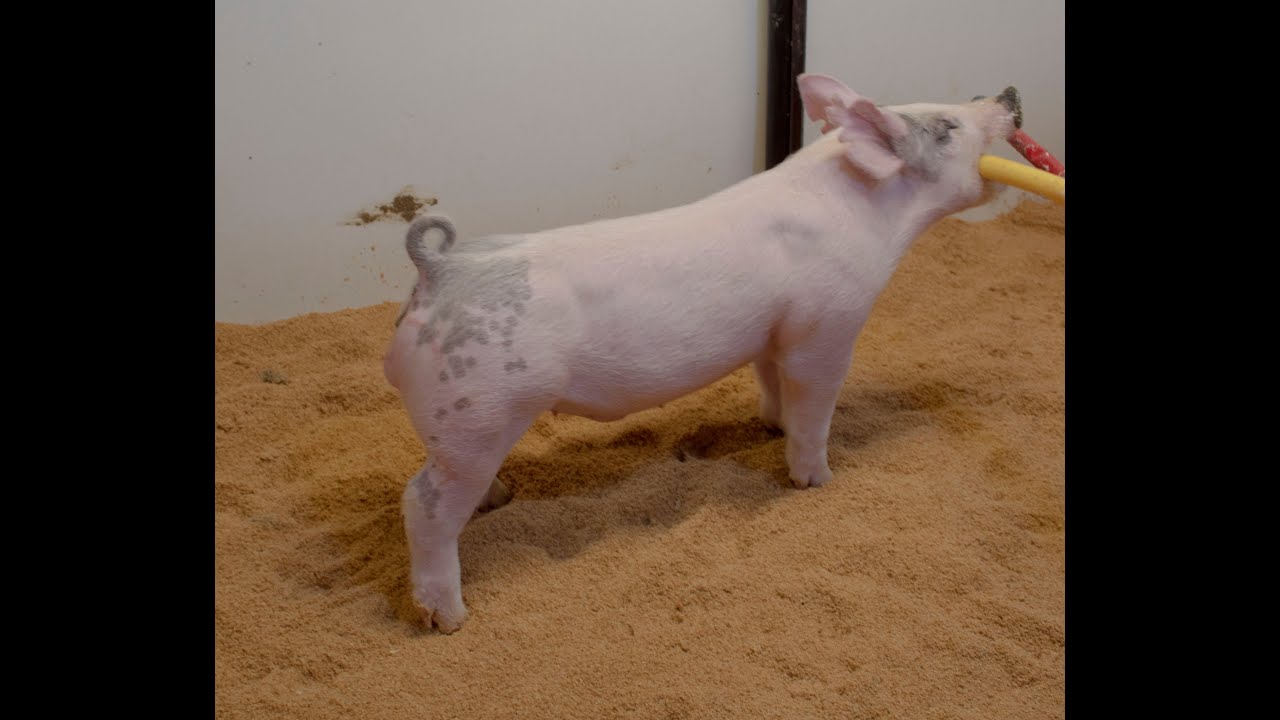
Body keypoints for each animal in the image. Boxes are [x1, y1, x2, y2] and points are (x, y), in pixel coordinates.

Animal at [383, 74, 1023, 633]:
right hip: (478, 410)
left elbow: (771, 382)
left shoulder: (773, 332)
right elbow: (813, 408)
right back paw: (450, 619)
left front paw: (770, 426)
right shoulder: (827, 326)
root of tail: (437, 270)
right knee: (422, 501)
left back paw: (499, 501)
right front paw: (817, 481)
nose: (1007, 93)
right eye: (945, 127)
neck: (872, 217)